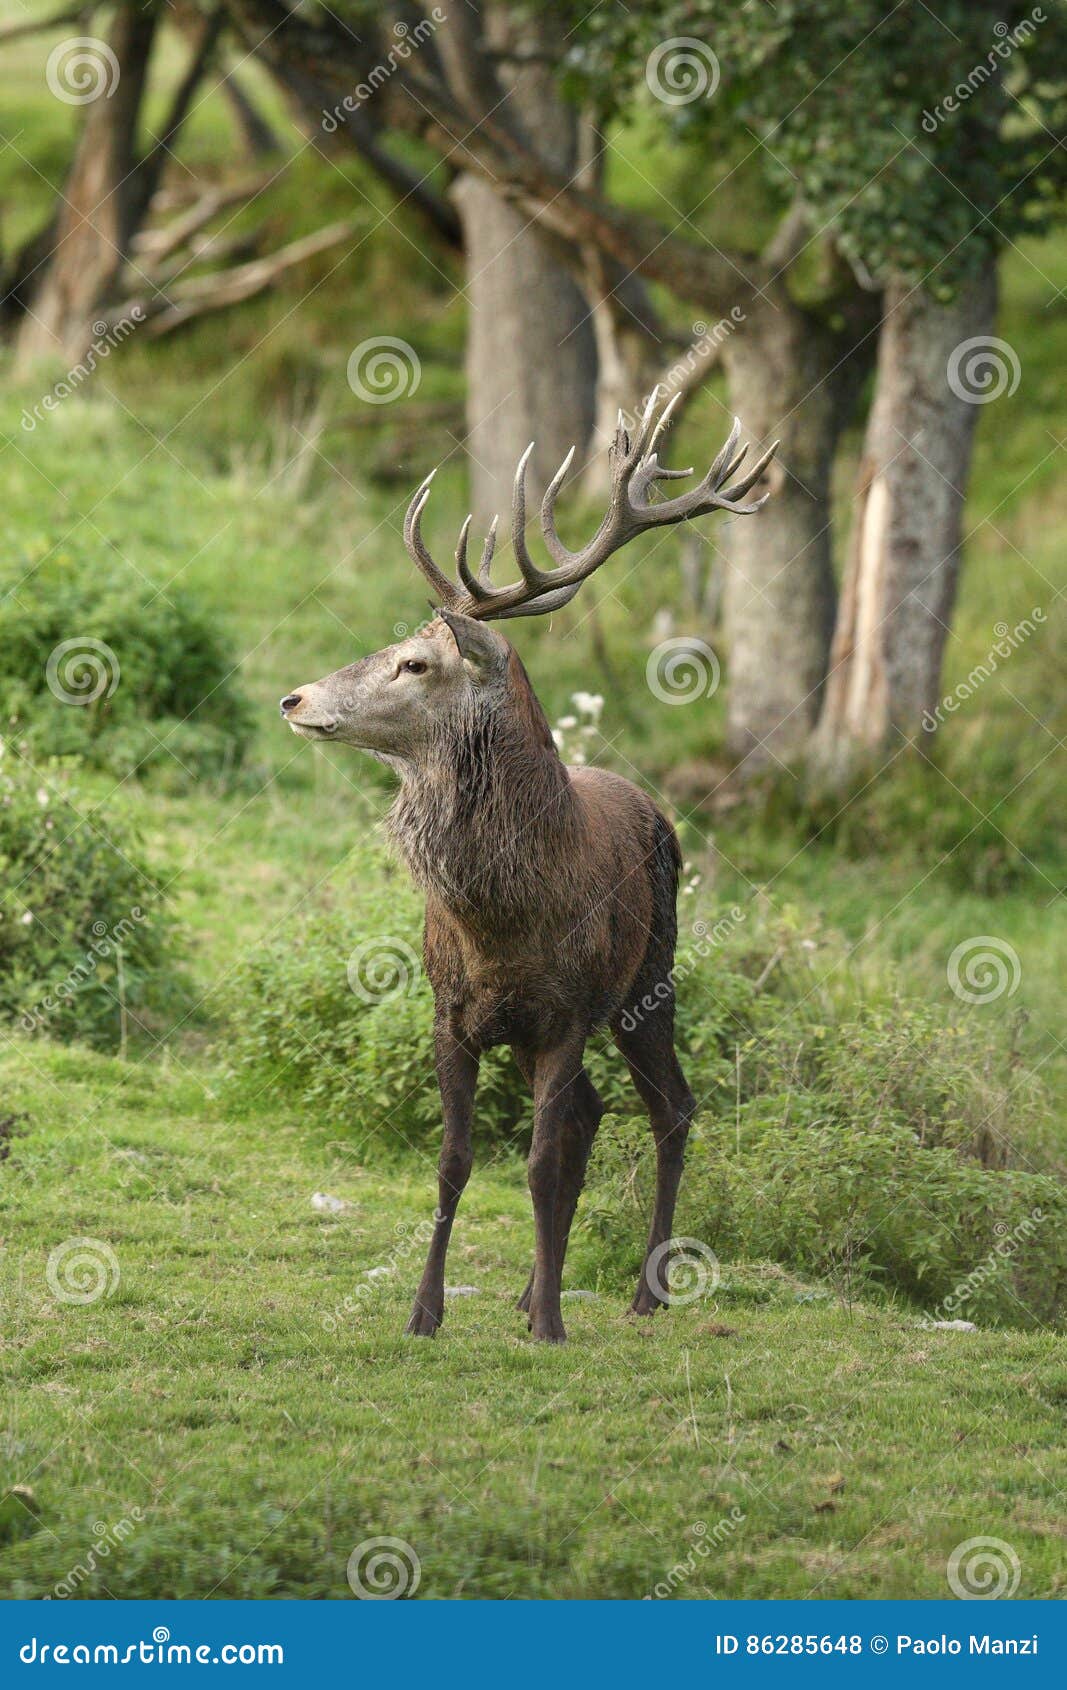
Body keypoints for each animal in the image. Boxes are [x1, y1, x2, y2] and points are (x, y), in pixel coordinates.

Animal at [280, 393, 776, 1342]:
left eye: (415, 662)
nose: (293, 698)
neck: (501, 921)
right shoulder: (453, 1011)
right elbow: (454, 1160)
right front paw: (425, 1311)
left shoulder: (565, 1014)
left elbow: (539, 1163)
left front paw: (549, 1323)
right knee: (591, 1114)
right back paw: (524, 1288)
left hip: (647, 981)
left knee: (669, 1107)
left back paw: (642, 1291)